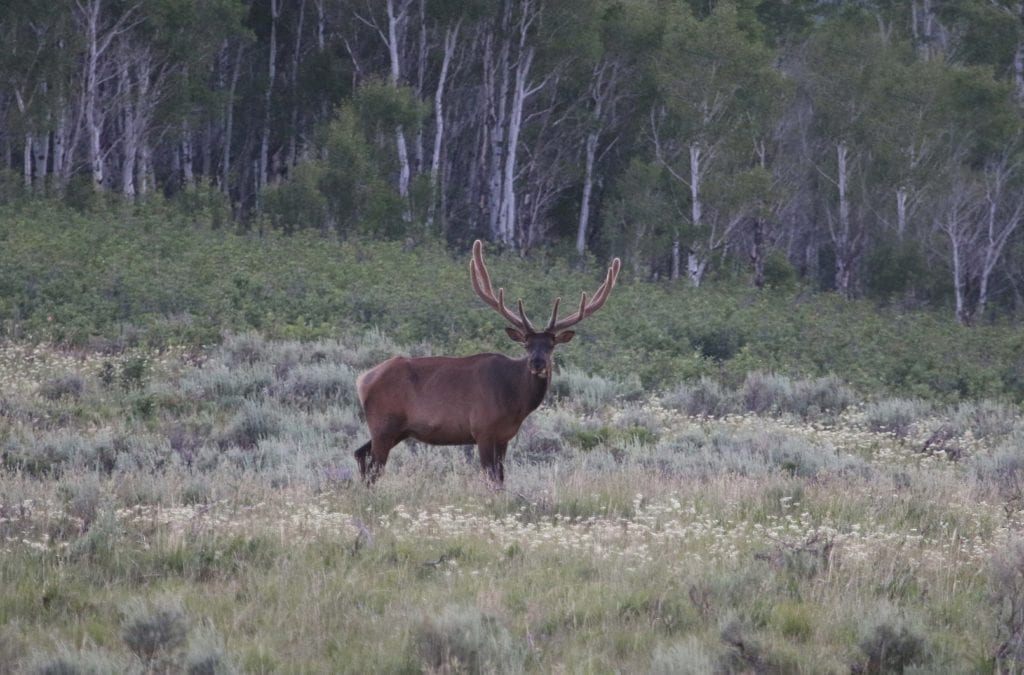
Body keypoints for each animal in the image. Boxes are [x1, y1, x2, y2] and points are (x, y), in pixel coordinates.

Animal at [353, 239, 621, 485]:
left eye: (551, 345)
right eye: (526, 344)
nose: (537, 363)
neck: (515, 401)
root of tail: (362, 379)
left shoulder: (504, 436)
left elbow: (501, 478)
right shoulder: (482, 429)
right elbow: (491, 478)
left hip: (397, 429)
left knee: (360, 454)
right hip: (384, 423)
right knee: (374, 465)